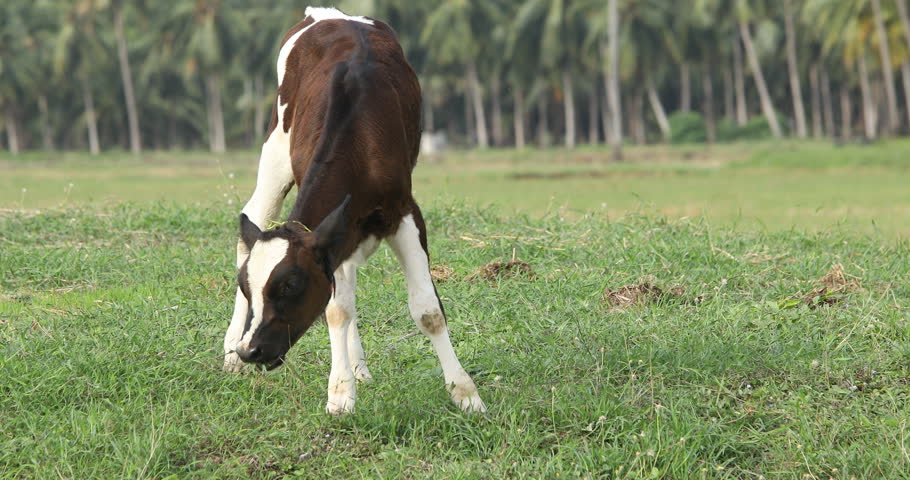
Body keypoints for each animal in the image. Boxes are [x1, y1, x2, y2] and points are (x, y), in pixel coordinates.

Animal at [220, 7, 486, 415]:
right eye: (244, 286)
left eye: (290, 285)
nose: (250, 350)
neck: (361, 141)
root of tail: (325, 13)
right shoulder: (336, 230)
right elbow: (336, 309)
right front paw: (340, 393)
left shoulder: (402, 213)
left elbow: (427, 310)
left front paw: (465, 393)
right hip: (276, 145)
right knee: (257, 216)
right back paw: (232, 351)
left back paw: (358, 366)